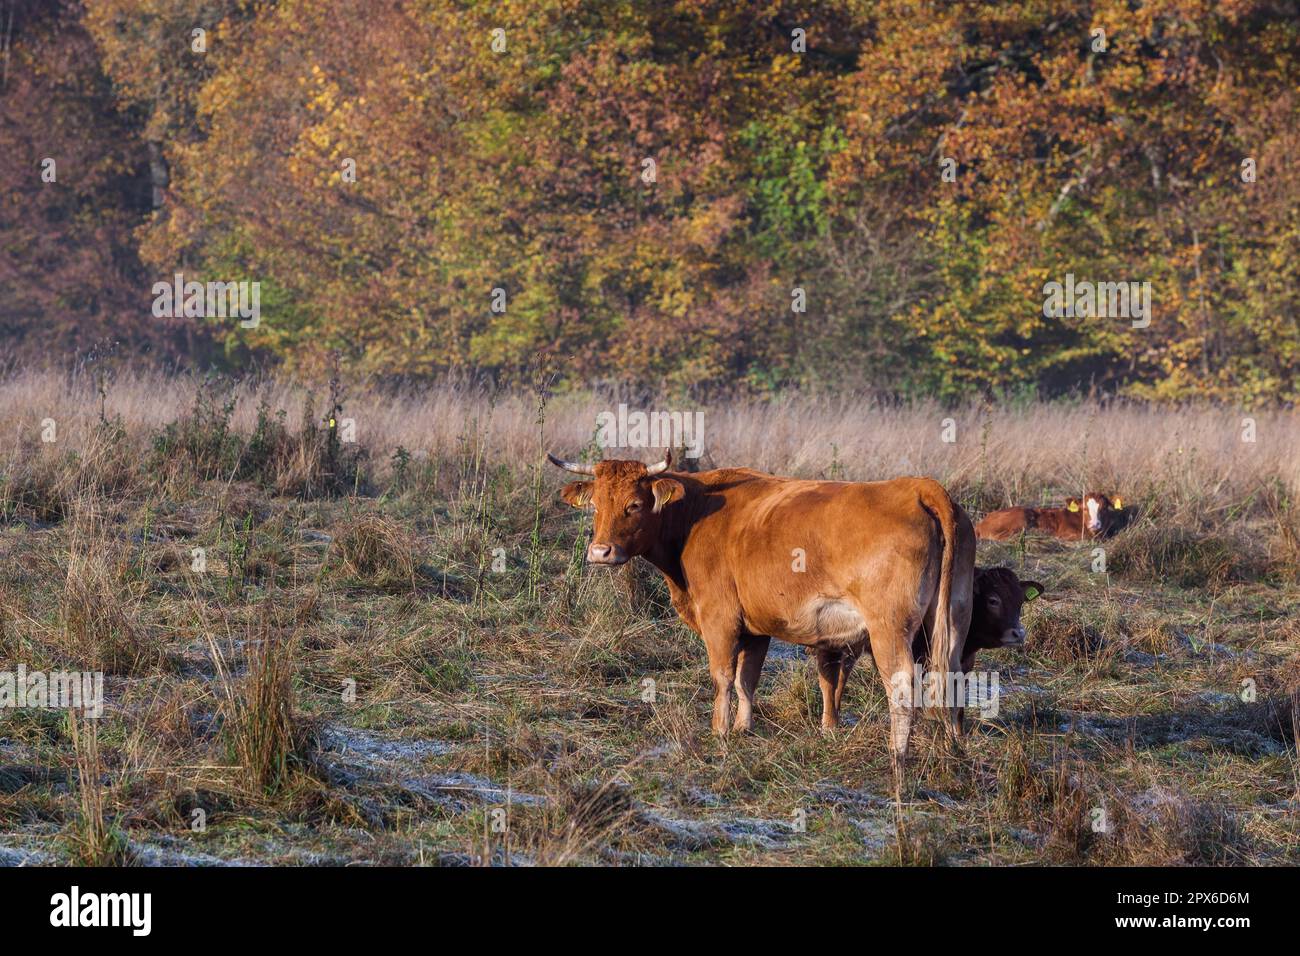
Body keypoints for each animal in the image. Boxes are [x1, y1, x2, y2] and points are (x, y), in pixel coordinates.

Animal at [549, 451, 977, 775]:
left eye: (634, 505)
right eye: (595, 506)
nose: (600, 552)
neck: (696, 513)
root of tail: (918, 487)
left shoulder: (719, 617)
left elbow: (723, 676)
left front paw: (720, 730)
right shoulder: (755, 627)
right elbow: (747, 679)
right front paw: (743, 727)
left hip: (889, 627)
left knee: (902, 684)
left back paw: (898, 755)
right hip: (954, 619)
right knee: (953, 673)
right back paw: (954, 746)